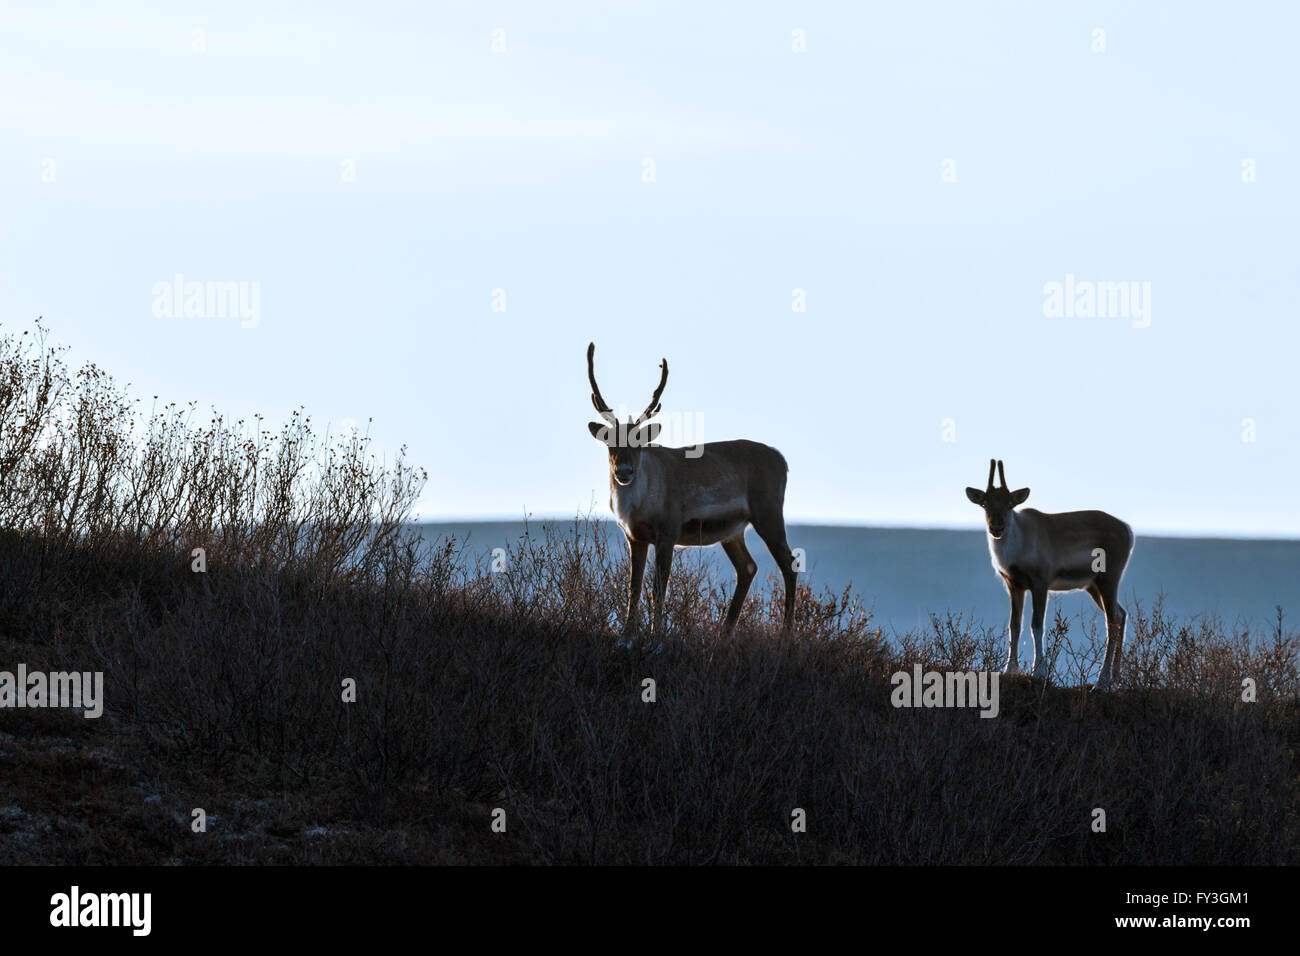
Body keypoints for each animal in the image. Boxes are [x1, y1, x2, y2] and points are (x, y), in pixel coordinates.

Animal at [585, 342, 798, 637]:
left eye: (639, 443)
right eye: (609, 443)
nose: (624, 472)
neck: (637, 506)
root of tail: (782, 459)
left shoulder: (668, 531)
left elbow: (658, 589)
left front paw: (655, 636)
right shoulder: (634, 536)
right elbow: (633, 588)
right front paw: (626, 637)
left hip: (769, 513)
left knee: (789, 564)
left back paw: (785, 635)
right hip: (732, 530)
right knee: (747, 567)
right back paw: (724, 634)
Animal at [965, 460, 1134, 691]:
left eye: (1010, 504)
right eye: (984, 503)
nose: (996, 528)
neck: (1018, 543)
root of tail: (1128, 530)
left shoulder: (1040, 582)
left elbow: (1036, 624)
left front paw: (1039, 671)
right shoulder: (1014, 585)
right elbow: (1014, 625)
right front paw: (1010, 670)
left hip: (1109, 578)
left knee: (1113, 621)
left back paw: (1101, 682)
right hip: (1093, 585)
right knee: (1121, 613)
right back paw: (1115, 679)